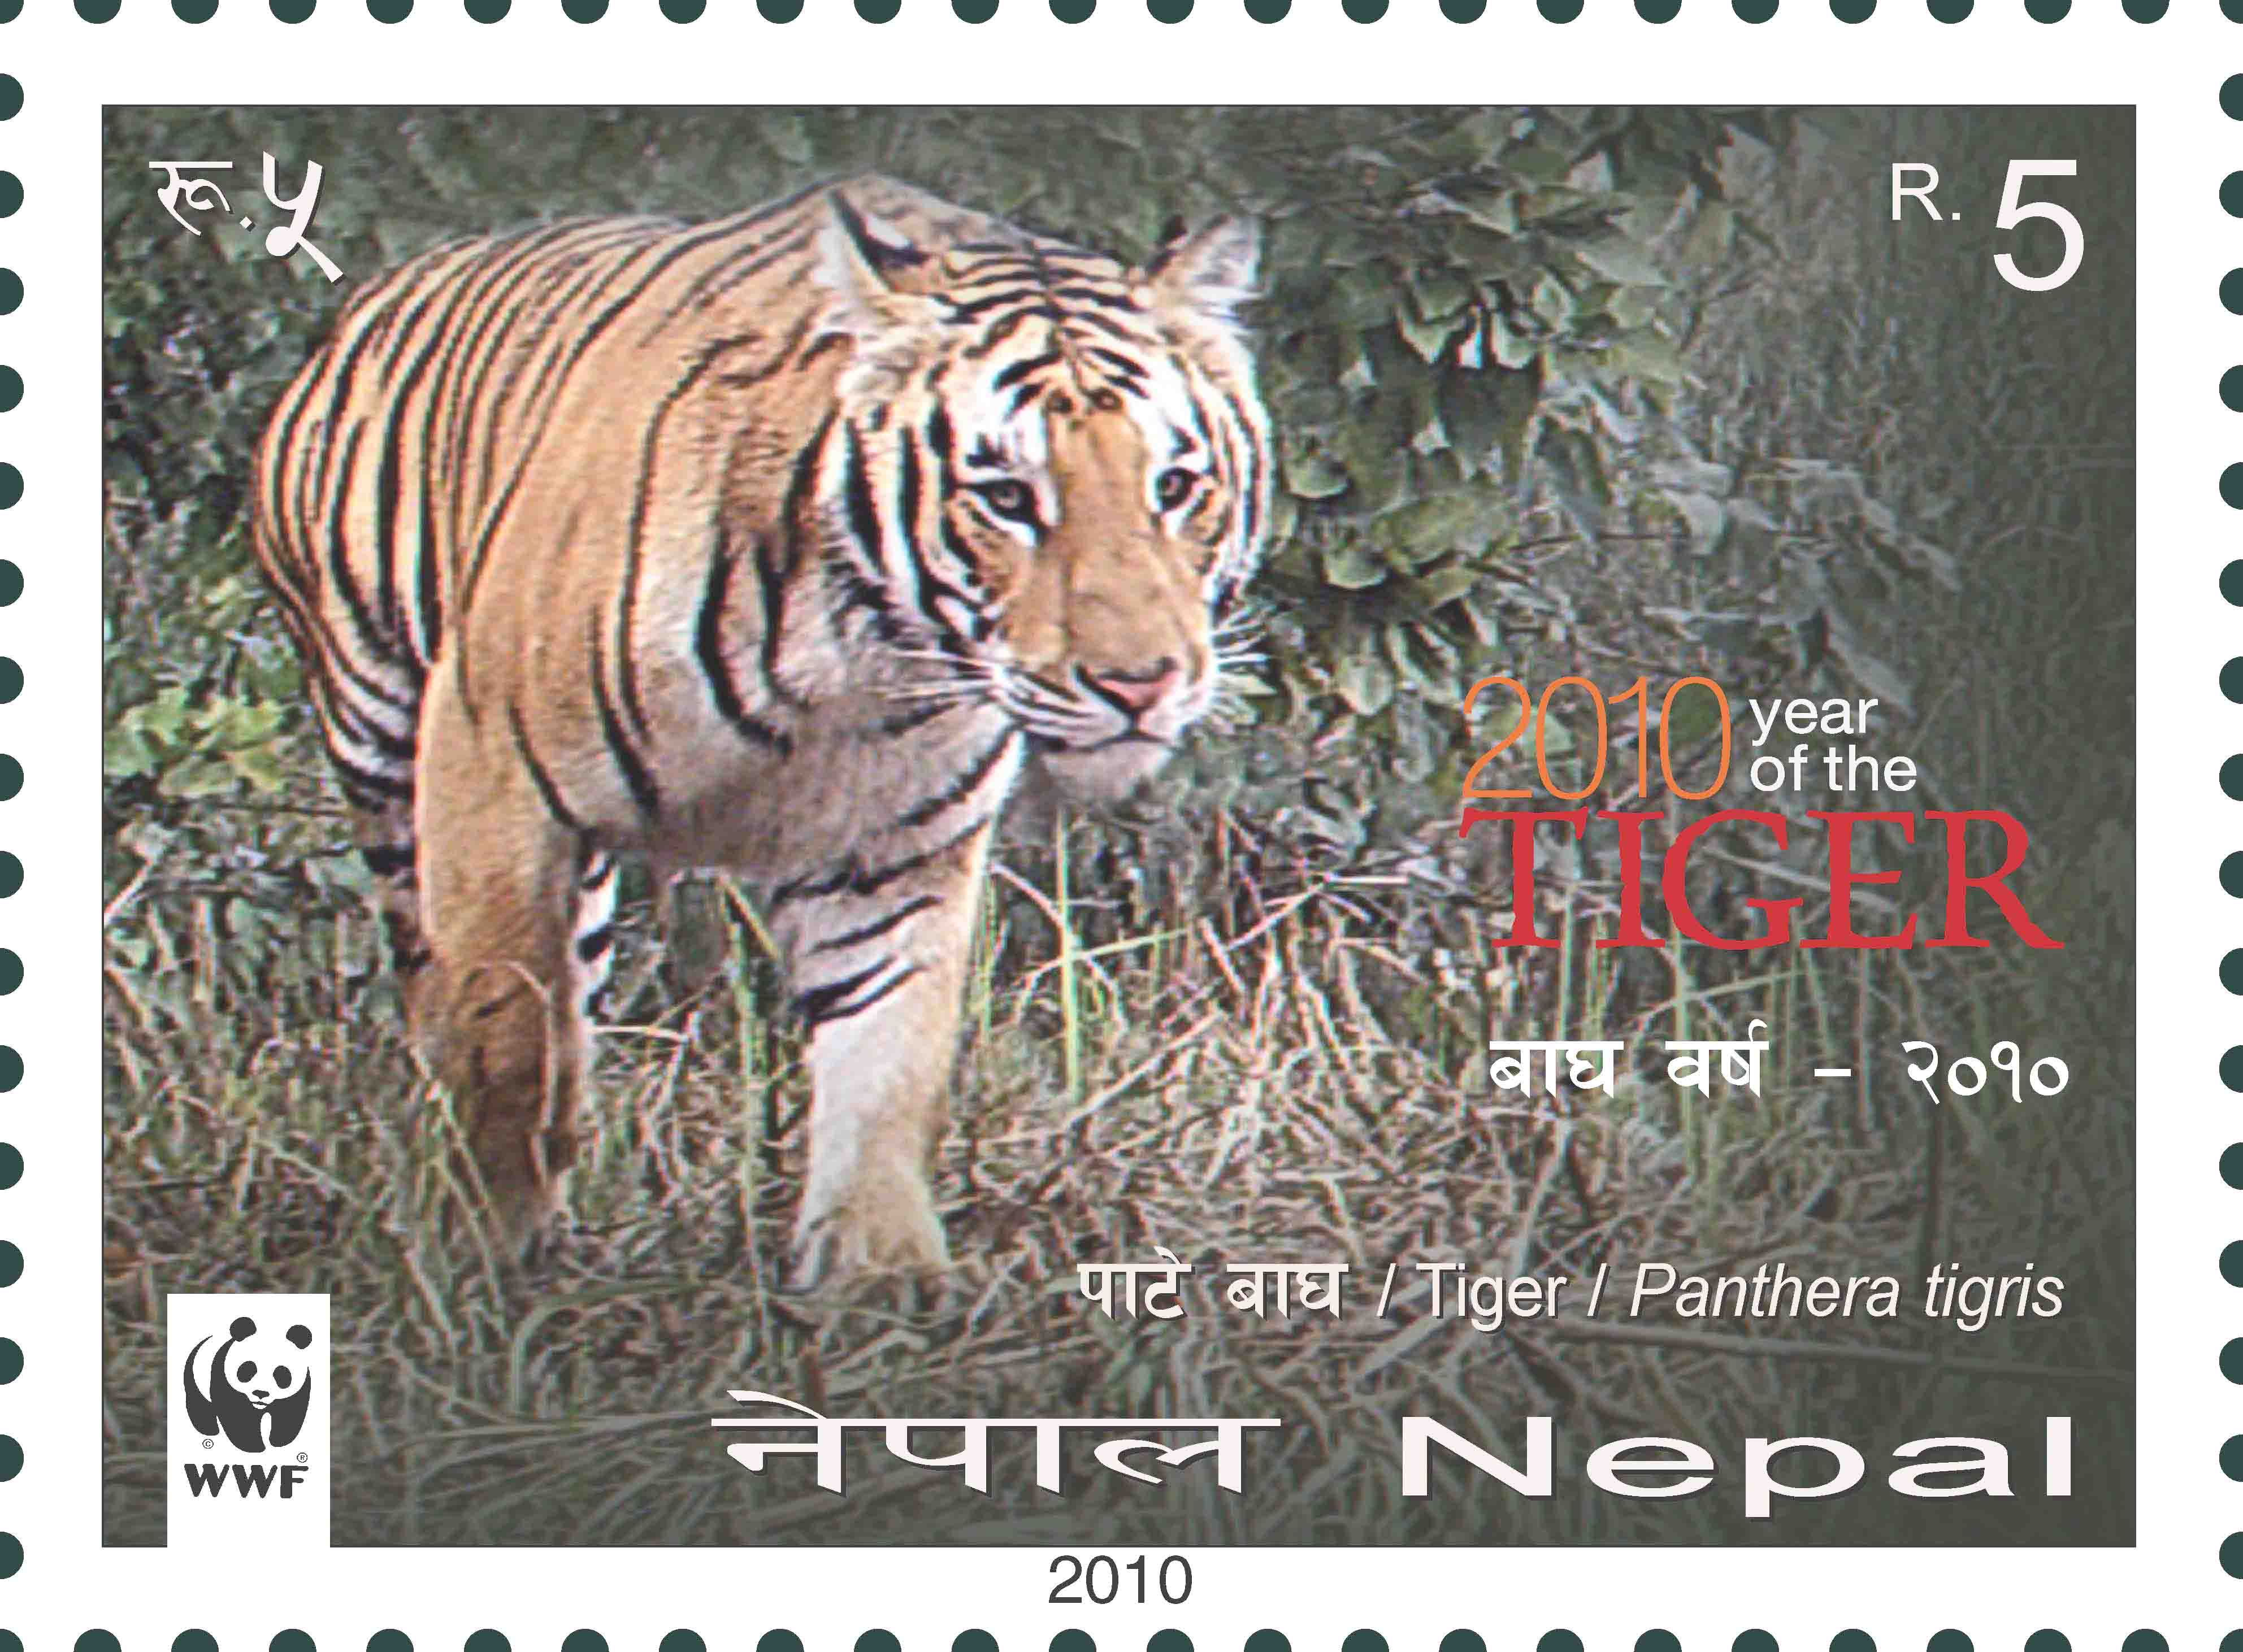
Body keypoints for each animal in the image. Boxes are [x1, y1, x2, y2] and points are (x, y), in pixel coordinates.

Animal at [249, 174, 1272, 1293]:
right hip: (382, 749)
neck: (861, 665)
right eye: (1006, 496)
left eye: (1173, 486)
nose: (1141, 683)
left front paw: (879, 1278)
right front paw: (481, 1252)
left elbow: (887, 1058)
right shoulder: (491, 773)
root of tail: (390, 286)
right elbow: (501, 1032)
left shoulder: (894, 845)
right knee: (444, 987)